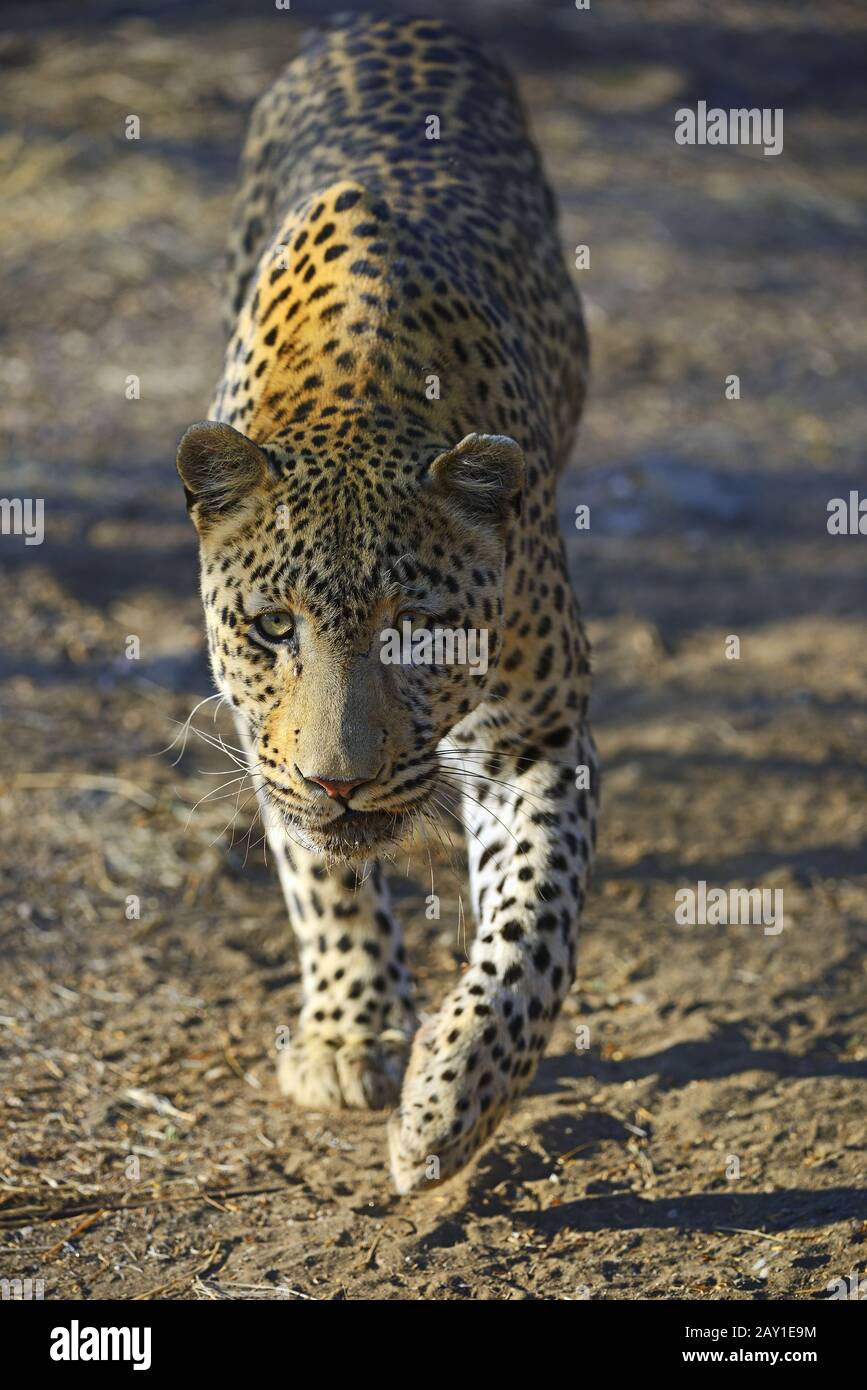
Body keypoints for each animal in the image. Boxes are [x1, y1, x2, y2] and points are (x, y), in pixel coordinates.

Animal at [176, 13, 599, 1193]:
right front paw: (353, 1032)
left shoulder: (537, 727)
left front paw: (452, 1099)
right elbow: (320, 875)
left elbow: (536, 916)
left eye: (416, 628)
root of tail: (385, 16)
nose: (344, 781)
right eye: (274, 627)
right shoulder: (263, 728)